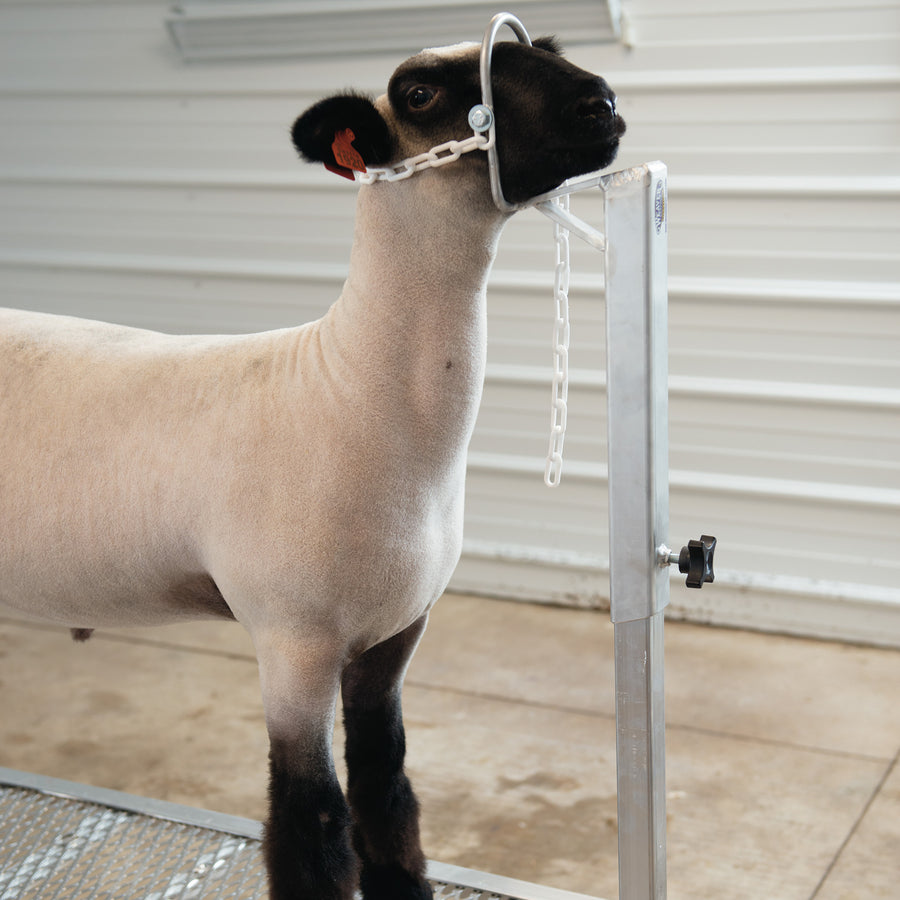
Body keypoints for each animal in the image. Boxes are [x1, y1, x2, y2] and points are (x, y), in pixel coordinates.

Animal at [0, 32, 625, 900]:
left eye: (547, 49)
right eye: (421, 92)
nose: (602, 105)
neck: (351, 392)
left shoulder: (396, 633)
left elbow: (387, 796)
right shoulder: (292, 639)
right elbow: (312, 822)